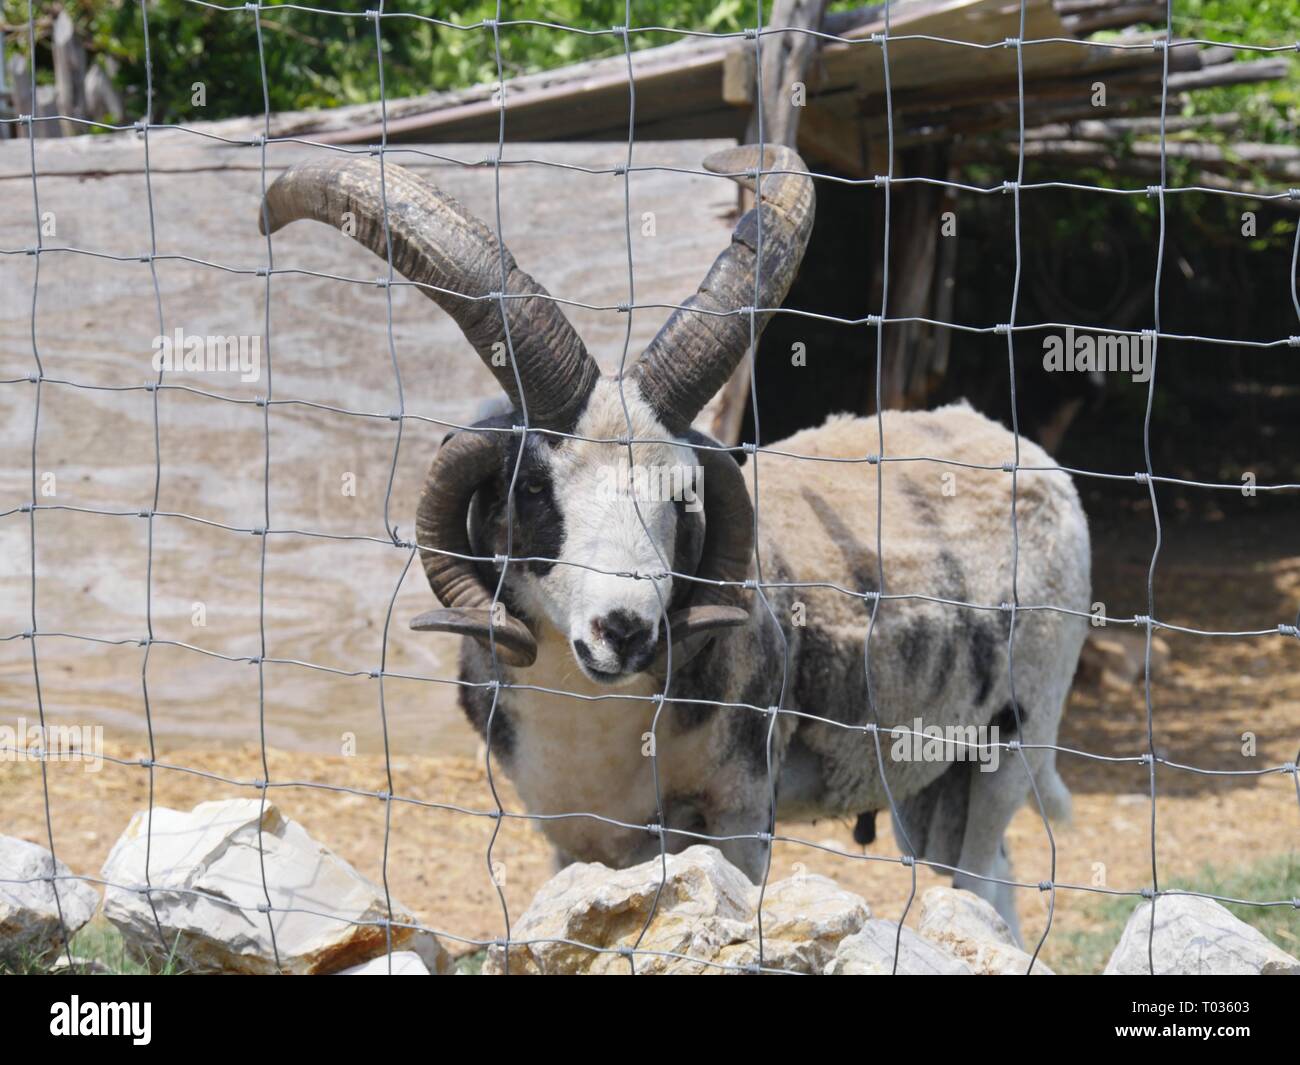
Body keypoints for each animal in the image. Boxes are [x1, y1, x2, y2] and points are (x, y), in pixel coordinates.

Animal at [259, 146, 1091, 941]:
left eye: (682, 493)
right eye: (533, 487)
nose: (625, 630)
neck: (589, 712)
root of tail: (1015, 444)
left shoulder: (739, 810)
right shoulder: (569, 833)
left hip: (1013, 738)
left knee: (979, 875)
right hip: (926, 773)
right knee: (992, 887)